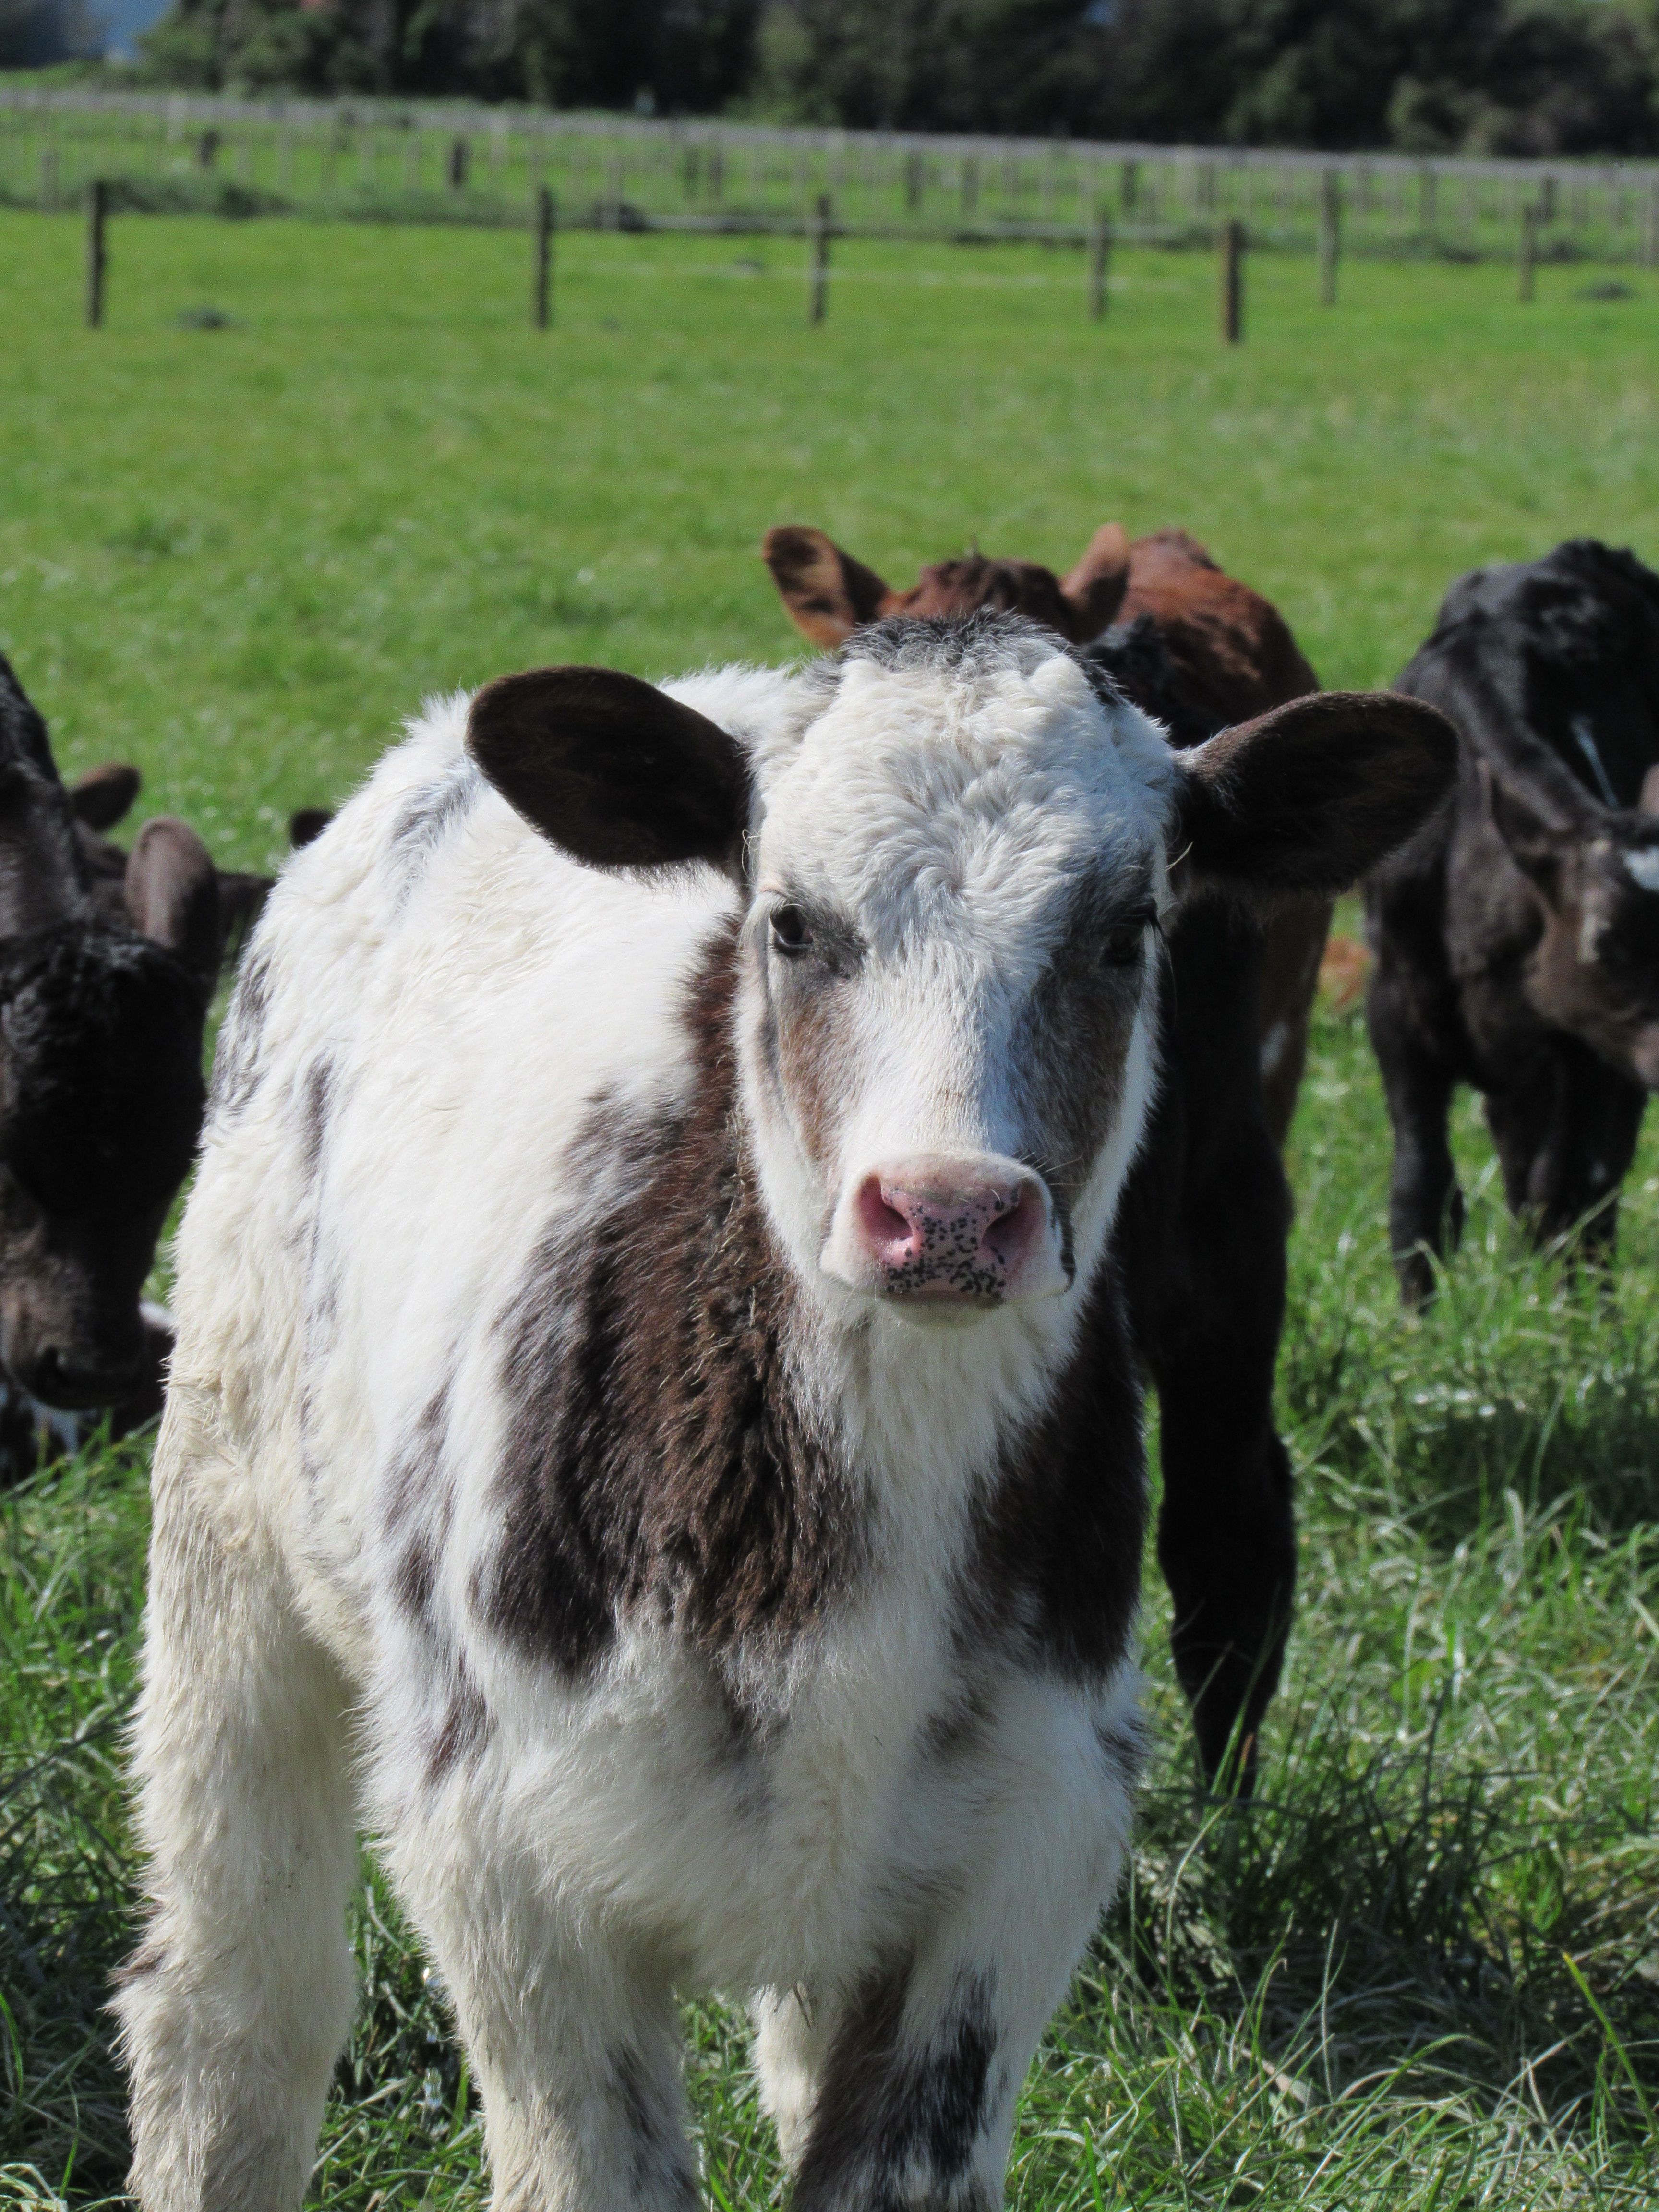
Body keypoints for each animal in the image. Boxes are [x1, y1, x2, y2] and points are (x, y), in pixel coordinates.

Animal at [1367, 539, 1659, 1304]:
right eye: (1606, 941)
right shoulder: (1397, 1011)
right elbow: (1422, 1189)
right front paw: (1417, 1321)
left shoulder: (1585, 1044)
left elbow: (1566, 1194)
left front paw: (1563, 1320)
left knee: (1585, 1191)